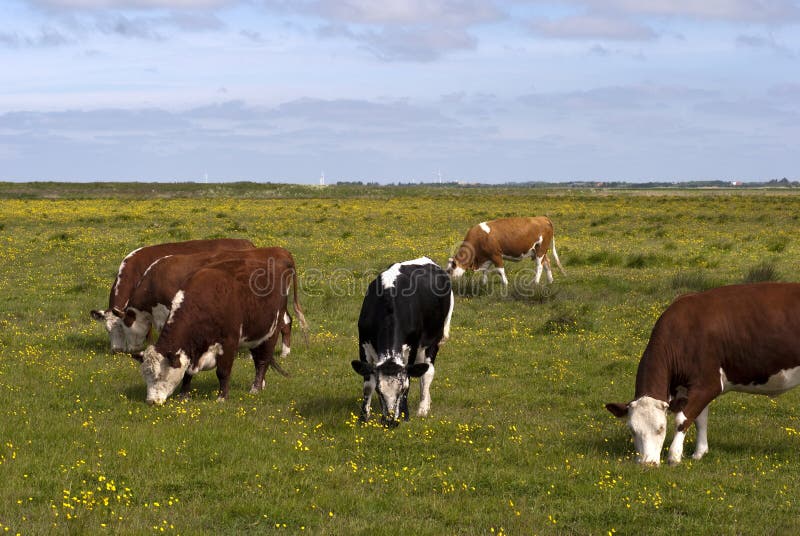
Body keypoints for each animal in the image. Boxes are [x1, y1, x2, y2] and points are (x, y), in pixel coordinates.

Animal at [132, 256, 300, 404]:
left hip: (271, 333)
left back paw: (256, 388)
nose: (151, 401)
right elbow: (187, 374)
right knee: (258, 359)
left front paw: (222, 397)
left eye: (160, 375)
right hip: (254, 336)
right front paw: (183, 396)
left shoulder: (228, 344)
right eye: (145, 375)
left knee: (262, 362)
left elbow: (223, 372)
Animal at [351, 257, 454, 427]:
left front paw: (405, 414)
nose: (391, 421)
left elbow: (411, 378)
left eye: (403, 390)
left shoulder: (412, 346)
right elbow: (367, 385)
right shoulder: (363, 344)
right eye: (379, 391)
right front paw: (363, 417)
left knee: (428, 373)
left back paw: (423, 408)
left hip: (434, 339)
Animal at [606, 282, 800, 466]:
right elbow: (700, 419)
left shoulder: (708, 384)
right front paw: (699, 452)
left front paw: (674, 456)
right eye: (632, 430)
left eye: (661, 428)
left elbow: (682, 419)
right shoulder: (687, 388)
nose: (647, 464)